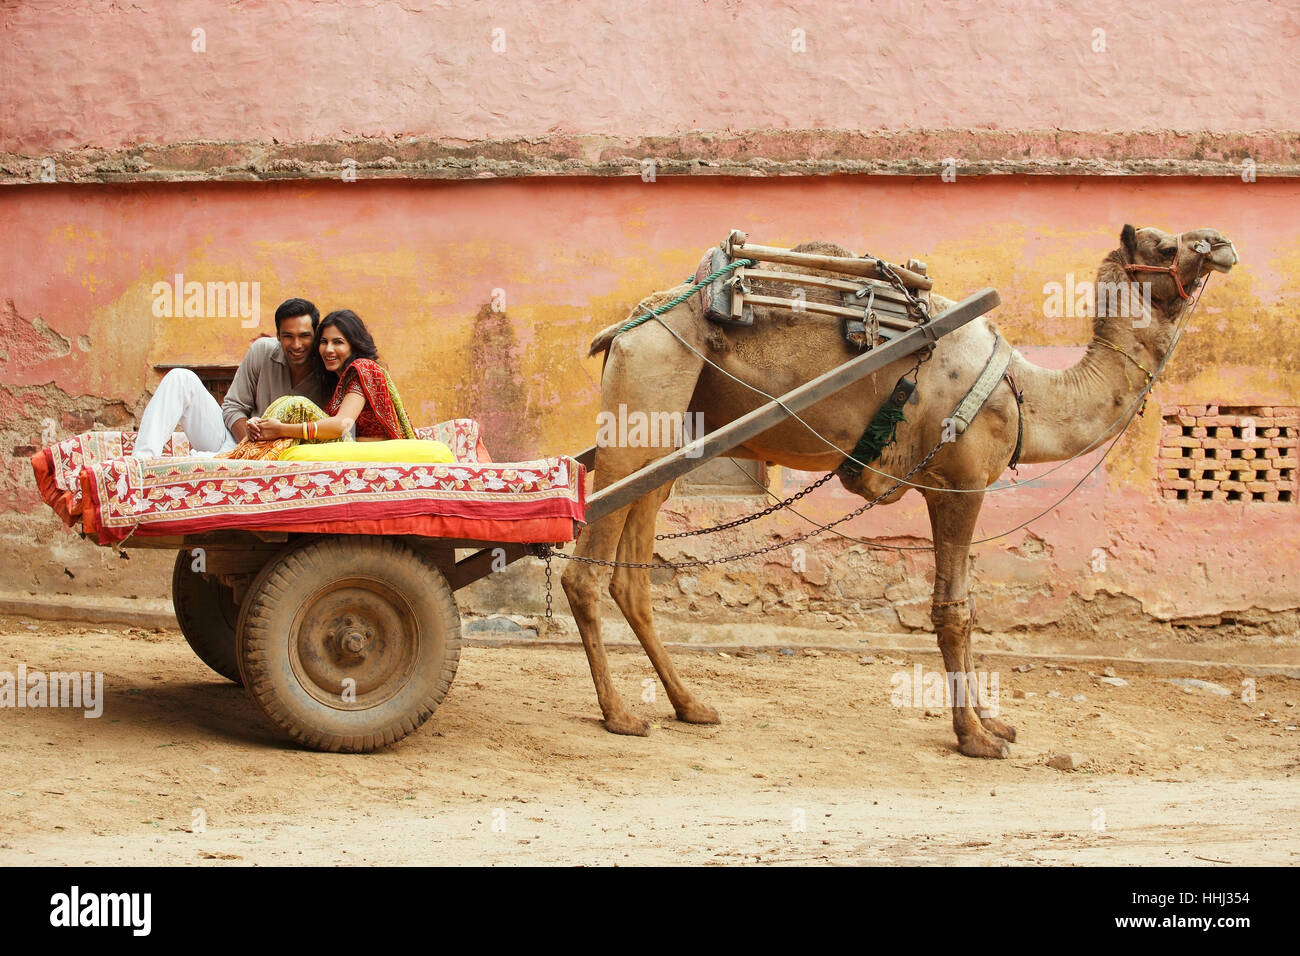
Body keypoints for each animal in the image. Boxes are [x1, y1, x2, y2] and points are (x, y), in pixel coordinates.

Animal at [562, 225, 1238, 758]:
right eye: (1170, 245)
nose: (1225, 246)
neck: (1027, 394)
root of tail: (625, 327)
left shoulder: (945, 487)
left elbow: (968, 605)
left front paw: (994, 721)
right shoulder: (960, 484)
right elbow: (954, 609)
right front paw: (976, 737)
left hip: (677, 429)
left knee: (633, 572)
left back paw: (691, 705)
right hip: (645, 391)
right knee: (584, 567)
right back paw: (620, 715)